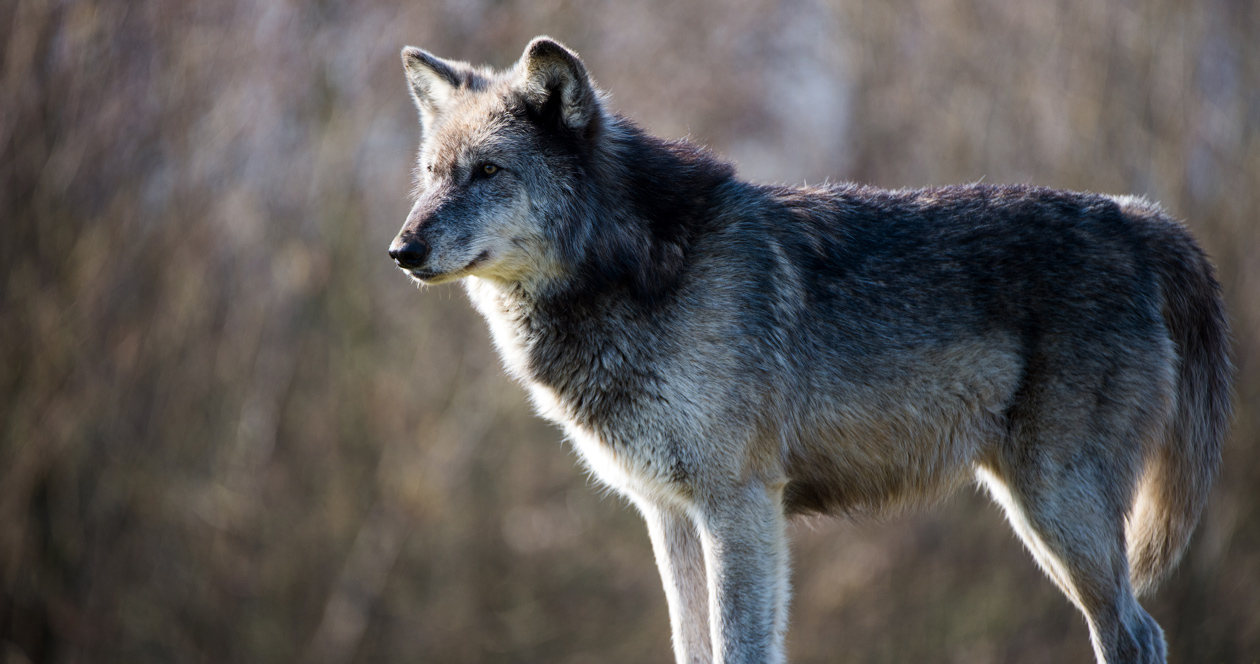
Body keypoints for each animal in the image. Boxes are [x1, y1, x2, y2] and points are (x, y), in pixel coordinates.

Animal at [388, 36, 1232, 664]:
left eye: (487, 171)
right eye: (430, 175)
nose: (400, 250)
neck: (636, 271)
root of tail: (1137, 217)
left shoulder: (739, 506)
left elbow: (740, 648)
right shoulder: (669, 515)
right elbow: (693, 647)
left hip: (1057, 510)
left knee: (1137, 634)